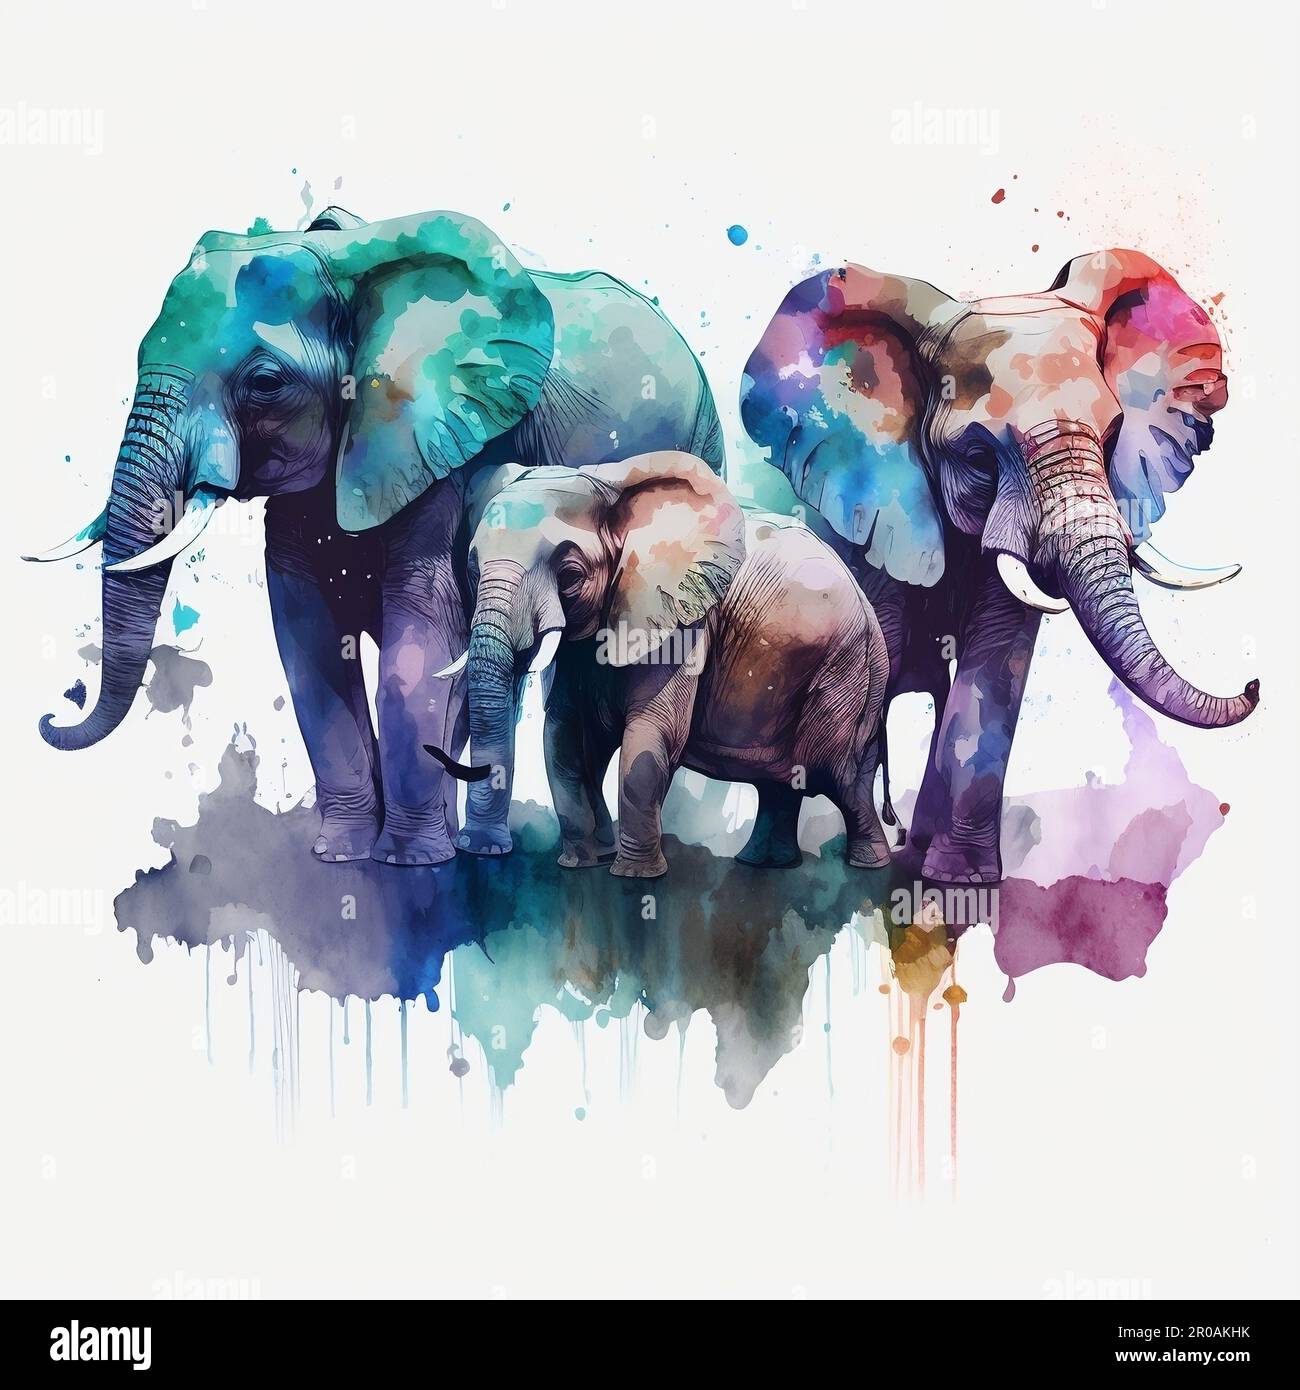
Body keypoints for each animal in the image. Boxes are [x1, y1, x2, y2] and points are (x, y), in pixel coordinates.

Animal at [29, 207, 723, 866]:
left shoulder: (444, 450)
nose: (54, 711)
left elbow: (419, 630)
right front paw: (344, 854)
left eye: (264, 384)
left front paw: (410, 862)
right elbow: (307, 641)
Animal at [429, 451, 892, 877]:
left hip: (846, 669)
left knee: (838, 773)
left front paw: (634, 876)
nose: (479, 850)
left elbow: (652, 732)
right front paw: (583, 863)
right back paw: (765, 864)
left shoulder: (685, 620)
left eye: (571, 575)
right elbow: (564, 736)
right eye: (472, 570)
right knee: (789, 780)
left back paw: (868, 864)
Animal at [739, 248, 1258, 885]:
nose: (1254, 684)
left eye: (1113, 434)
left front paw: (957, 880)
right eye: (979, 457)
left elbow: (994, 666)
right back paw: (780, 862)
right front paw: (900, 869)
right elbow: (880, 653)